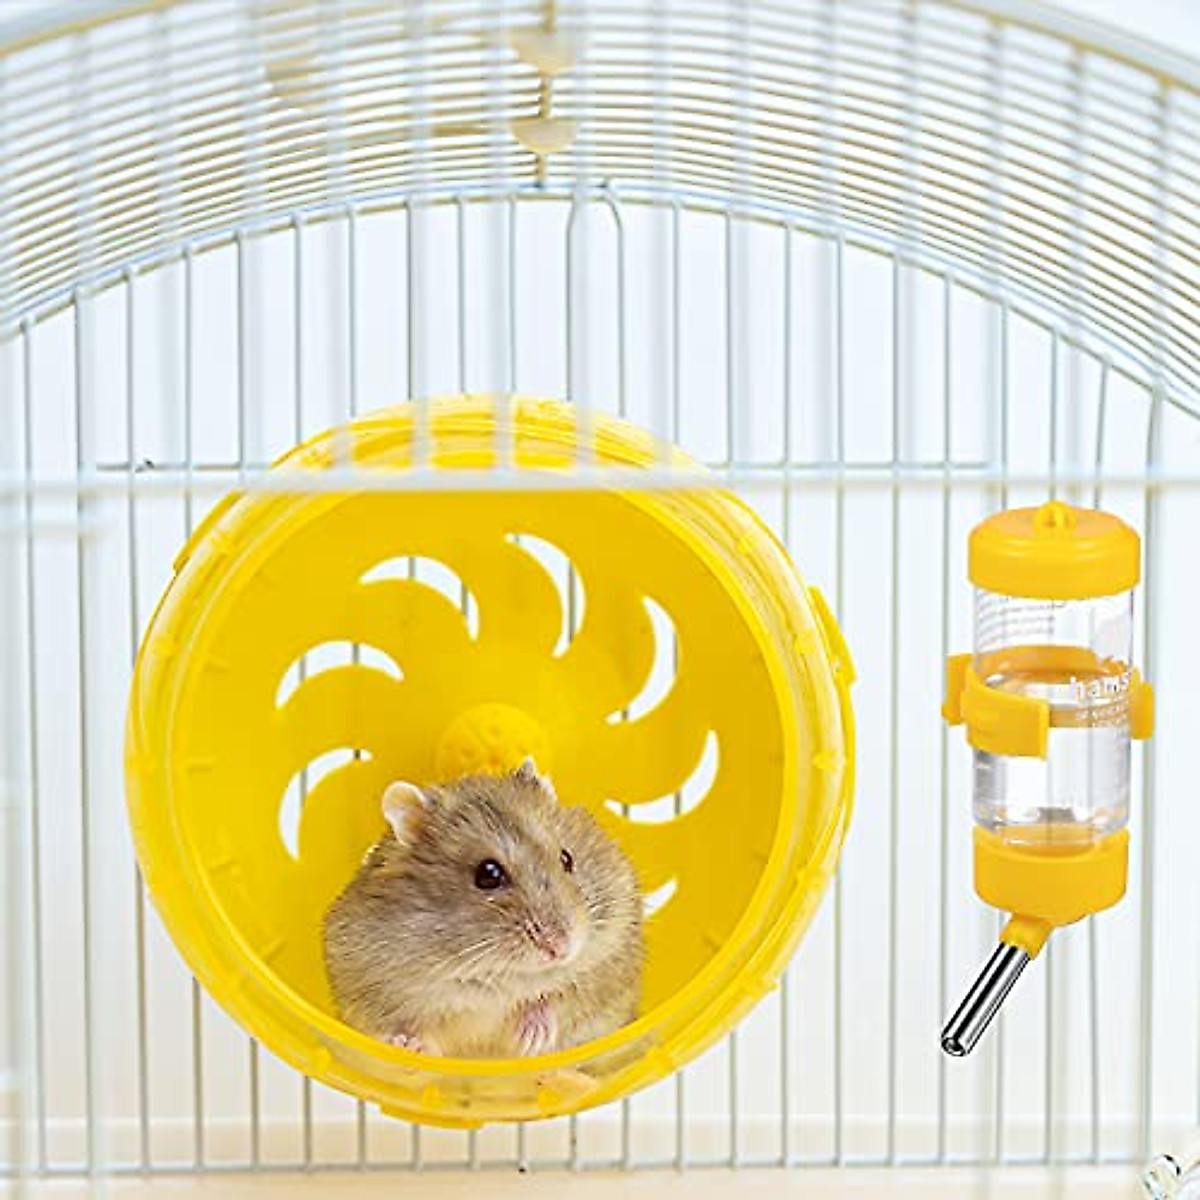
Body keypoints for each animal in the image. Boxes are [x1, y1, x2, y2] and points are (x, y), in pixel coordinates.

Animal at [322, 758, 644, 1057]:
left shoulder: (608, 962)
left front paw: (530, 1038)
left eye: (567, 858)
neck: (498, 972)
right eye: (488, 874)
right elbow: (417, 1031)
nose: (561, 948)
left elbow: (560, 999)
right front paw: (407, 1046)